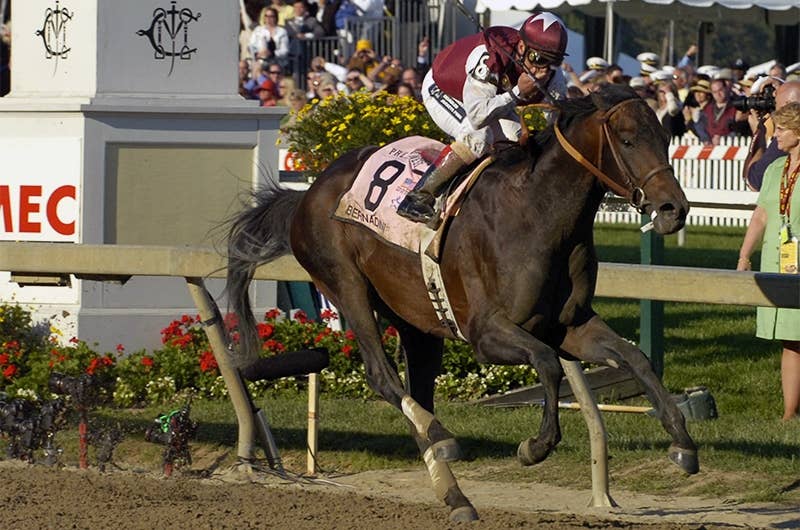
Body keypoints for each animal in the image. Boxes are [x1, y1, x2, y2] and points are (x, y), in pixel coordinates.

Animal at [226, 85, 695, 521]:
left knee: (418, 388)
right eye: (629, 140)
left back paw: (454, 493)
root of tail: (310, 192)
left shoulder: (570, 326)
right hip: (345, 284)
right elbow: (547, 363)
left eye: (665, 137)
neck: (538, 213)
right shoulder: (486, 332)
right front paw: (536, 445)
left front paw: (683, 443)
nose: (674, 208)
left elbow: (635, 357)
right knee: (383, 377)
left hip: (415, 319)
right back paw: (443, 438)